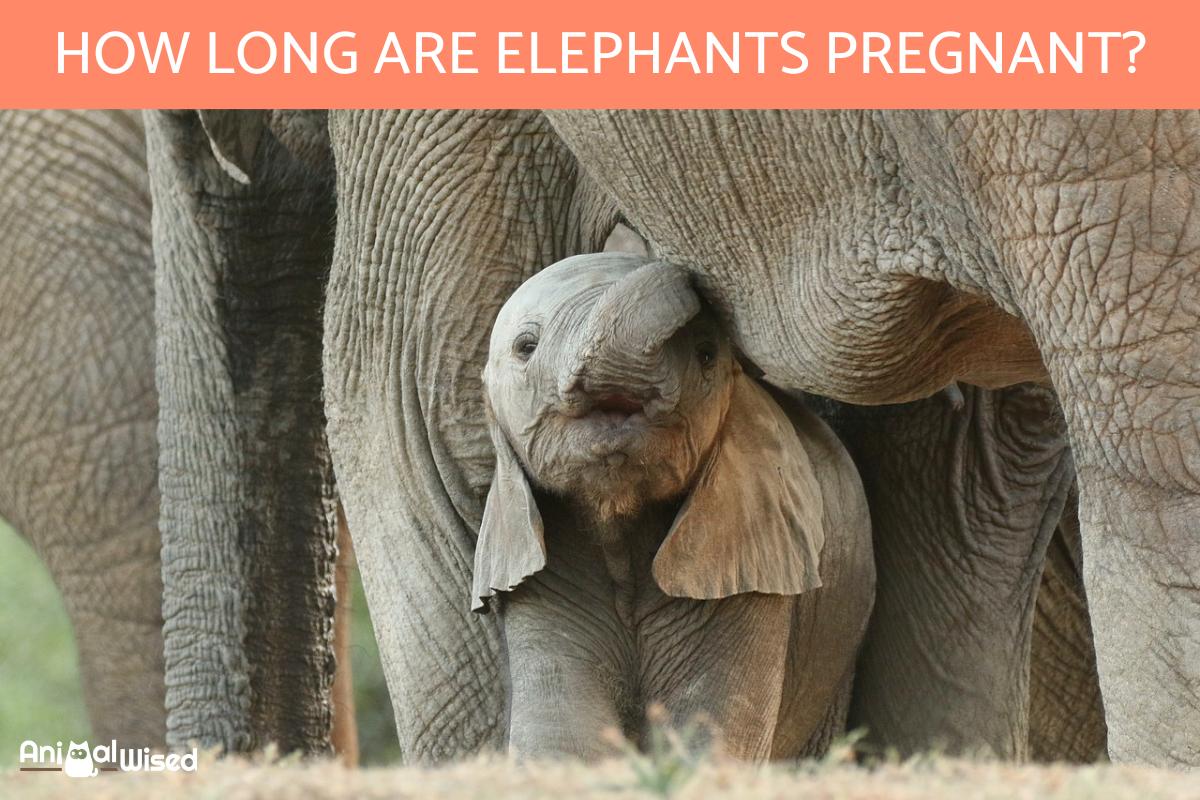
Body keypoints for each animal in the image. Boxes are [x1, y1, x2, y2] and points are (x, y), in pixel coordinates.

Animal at [474, 252, 874, 760]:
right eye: (526, 347)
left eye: (706, 355)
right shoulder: (539, 576)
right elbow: (561, 738)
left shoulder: (750, 567)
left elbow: (709, 730)